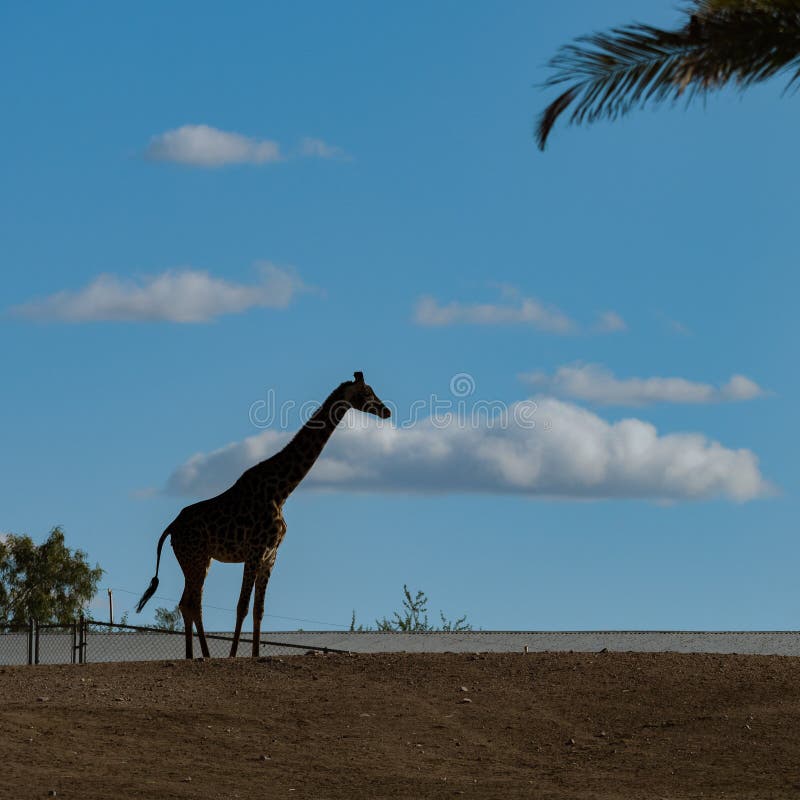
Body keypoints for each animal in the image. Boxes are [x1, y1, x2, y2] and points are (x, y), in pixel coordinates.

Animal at [136, 371, 391, 659]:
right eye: (367, 392)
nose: (387, 411)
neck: (282, 491)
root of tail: (171, 528)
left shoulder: (271, 556)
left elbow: (259, 610)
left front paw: (256, 654)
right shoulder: (255, 551)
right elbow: (242, 606)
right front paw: (233, 655)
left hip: (201, 559)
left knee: (187, 602)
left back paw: (194, 655)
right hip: (196, 557)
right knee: (191, 602)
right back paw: (204, 655)